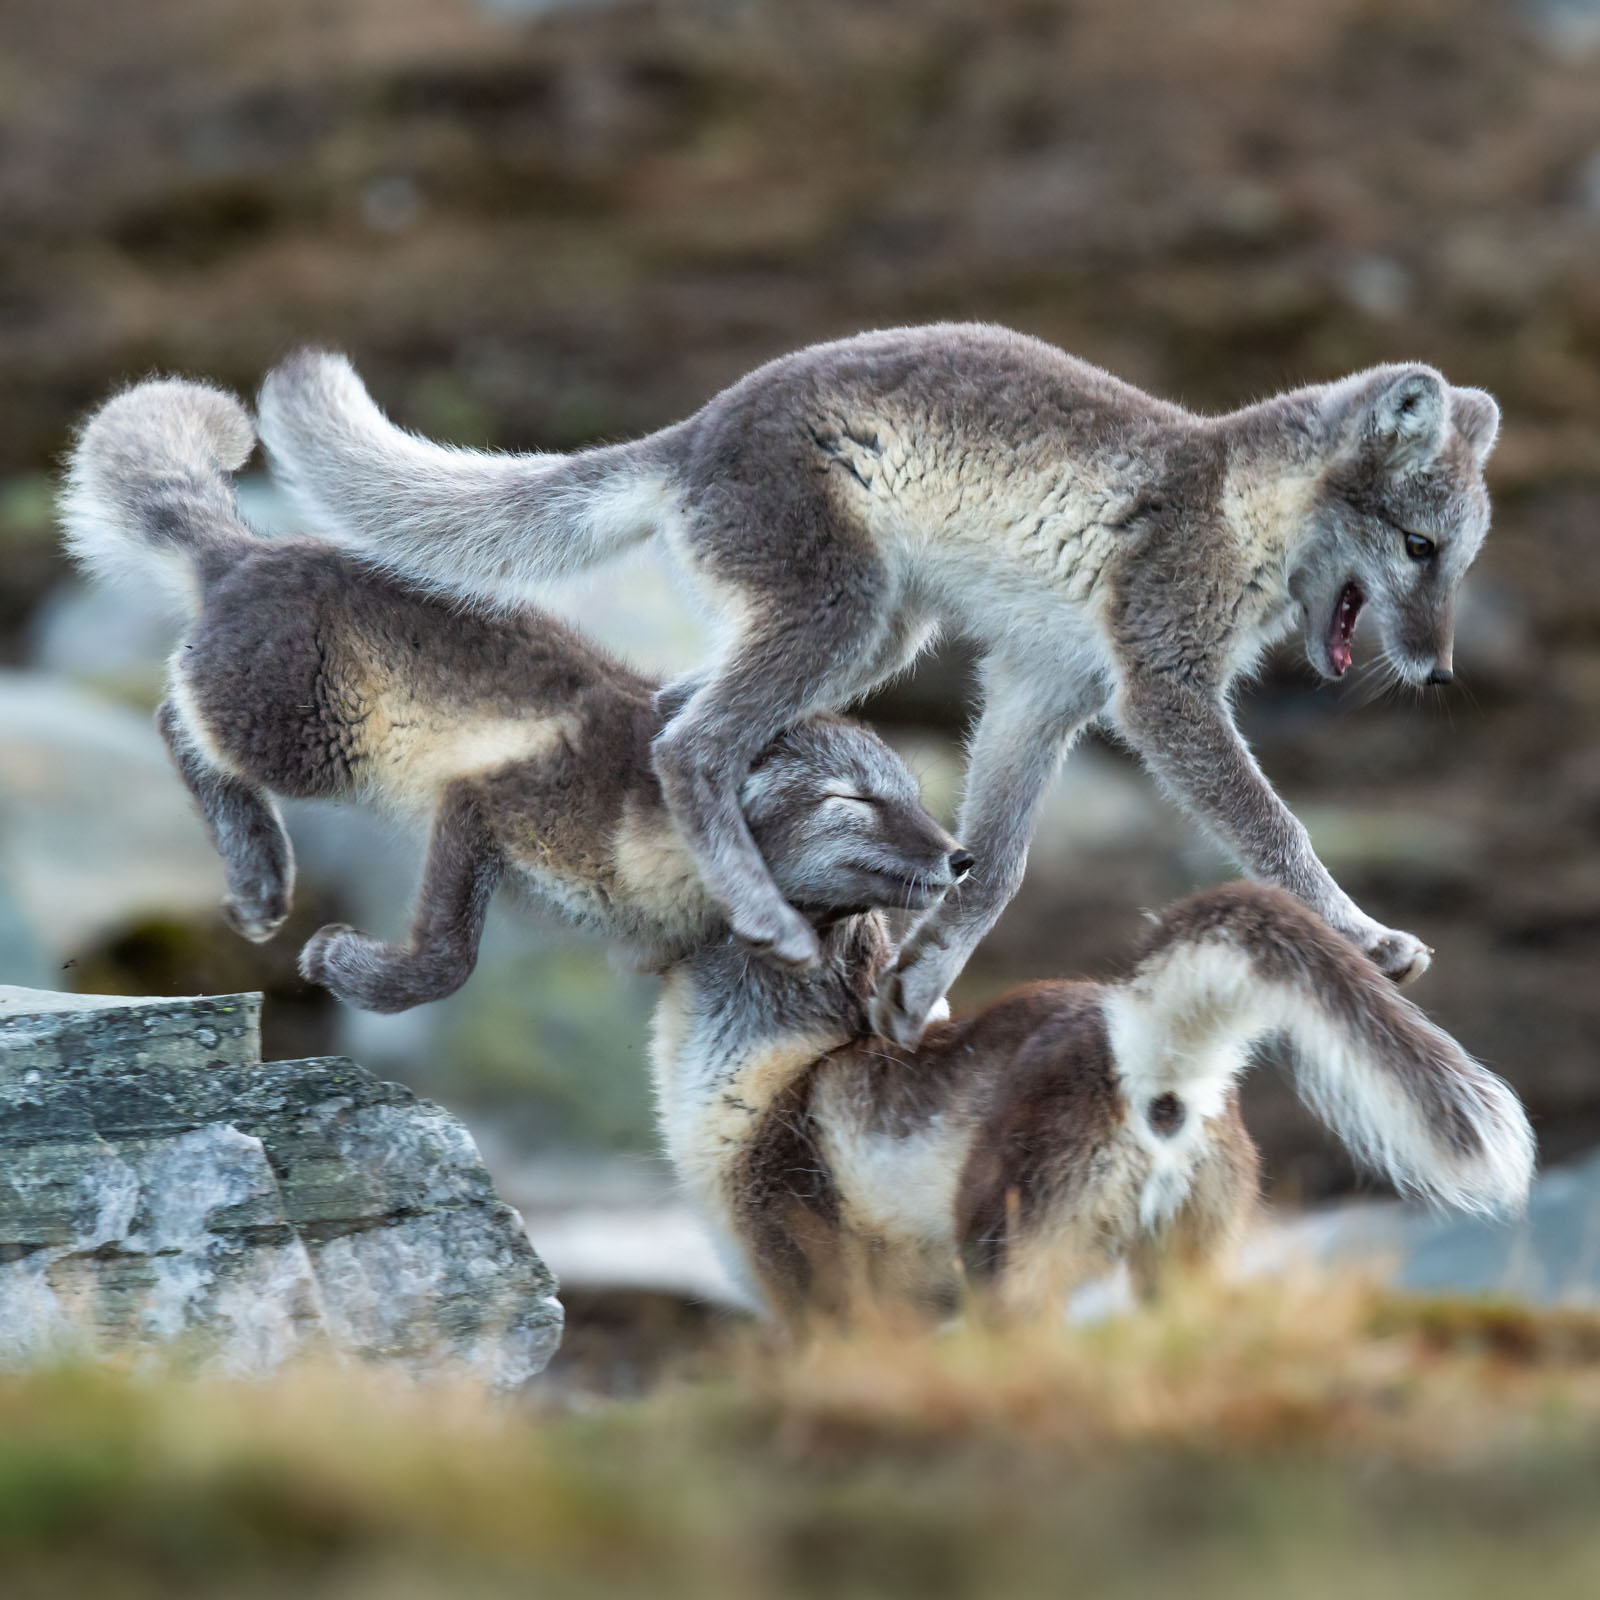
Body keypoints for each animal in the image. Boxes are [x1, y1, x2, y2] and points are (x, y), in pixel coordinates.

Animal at [60, 378, 969, 1015]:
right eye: (851, 800)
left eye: (913, 796)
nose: (960, 857)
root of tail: (253, 552)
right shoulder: (485, 797)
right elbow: (449, 958)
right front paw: (347, 969)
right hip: (305, 741)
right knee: (172, 719)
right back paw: (257, 876)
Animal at [257, 325, 1502, 1049]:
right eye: (1420, 547)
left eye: (1463, 558)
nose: (1441, 671)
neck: (1243, 506)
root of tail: (692, 430)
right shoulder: (1160, 689)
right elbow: (1278, 832)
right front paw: (1365, 933)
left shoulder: (1042, 688)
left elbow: (992, 863)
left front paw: (916, 981)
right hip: (842, 617)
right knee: (689, 745)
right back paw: (762, 911)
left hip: (873, 640)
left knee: (673, 716)